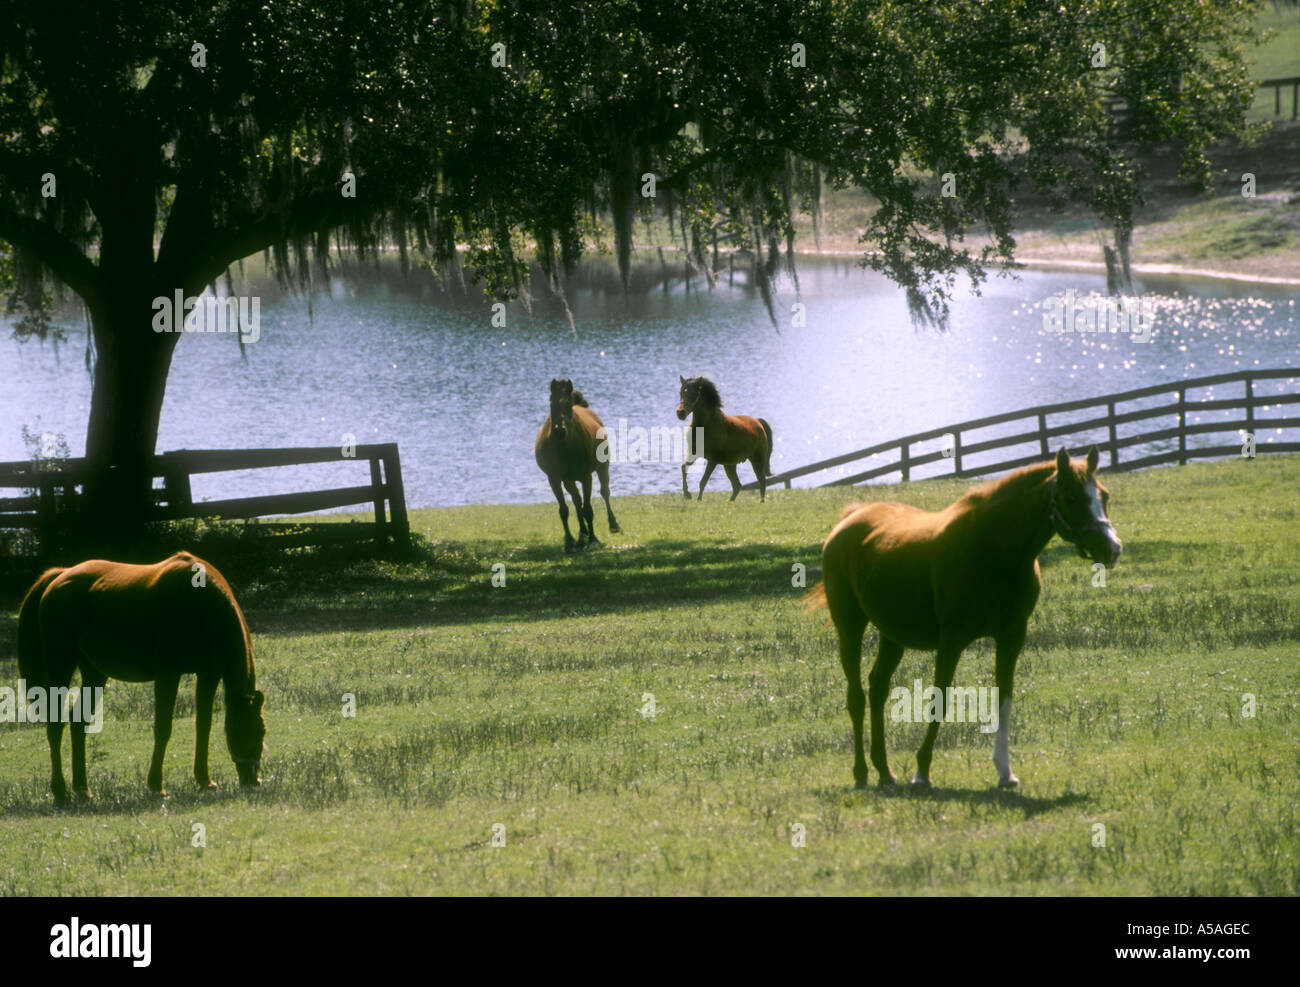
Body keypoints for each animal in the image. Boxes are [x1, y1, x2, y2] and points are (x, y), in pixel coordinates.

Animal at [17, 551, 266, 803]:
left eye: (262, 730)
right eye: (245, 730)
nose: (253, 779)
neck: (201, 606)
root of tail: (59, 576)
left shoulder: (208, 674)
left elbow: (203, 725)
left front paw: (205, 780)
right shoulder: (168, 674)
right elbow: (163, 728)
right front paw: (156, 785)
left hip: (94, 673)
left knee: (78, 724)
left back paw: (82, 789)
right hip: (61, 666)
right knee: (55, 725)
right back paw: (60, 791)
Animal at [534, 378, 620, 553]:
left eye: (568, 405)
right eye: (551, 403)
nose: (560, 431)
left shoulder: (586, 476)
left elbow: (588, 509)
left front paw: (593, 539)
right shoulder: (554, 479)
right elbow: (564, 510)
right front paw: (569, 541)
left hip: (602, 467)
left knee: (604, 492)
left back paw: (612, 524)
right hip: (569, 480)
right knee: (576, 500)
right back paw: (582, 534)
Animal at [806, 446, 1122, 790]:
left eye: (1104, 495)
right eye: (1071, 497)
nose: (1111, 547)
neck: (992, 549)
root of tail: (849, 521)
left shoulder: (1012, 637)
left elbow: (1004, 698)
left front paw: (1005, 772)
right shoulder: (952, 640)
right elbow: (939, 699)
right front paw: (922, 771)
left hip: (892, 636)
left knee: (877, 689)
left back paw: (885, 772)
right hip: (850, 628)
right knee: (856, 697)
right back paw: (862, 773)